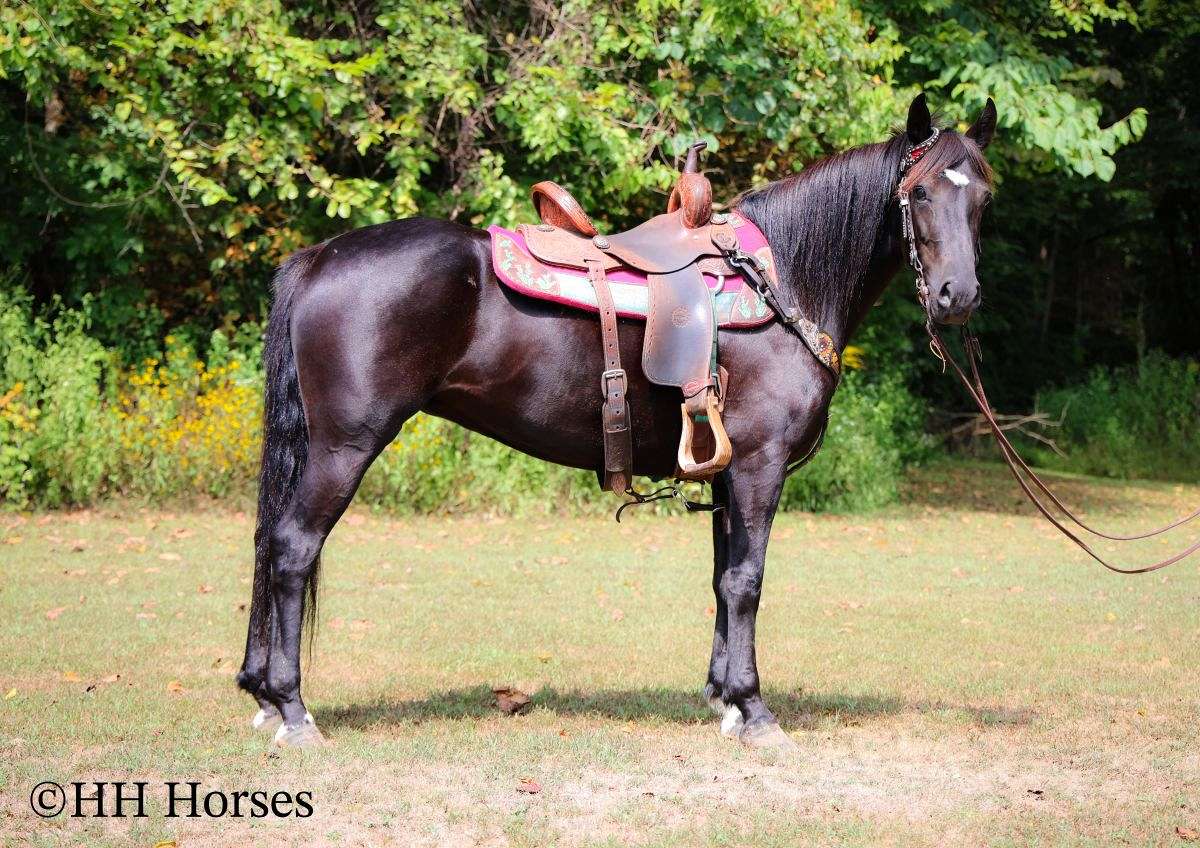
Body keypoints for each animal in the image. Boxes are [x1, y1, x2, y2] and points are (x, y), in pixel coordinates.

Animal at [236, 93, 998, 748]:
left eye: (983, 197)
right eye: (920, 193)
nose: (958, 297)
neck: (783, 280)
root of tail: (321, 257)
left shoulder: (726, 473)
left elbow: (722, 579)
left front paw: (723, 697)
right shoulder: (759, 464)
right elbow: (747, 581)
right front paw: (753, 709)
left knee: (271, 544)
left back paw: (265, 695)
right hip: (346, 445)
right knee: (294, 548)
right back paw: (294, 710)